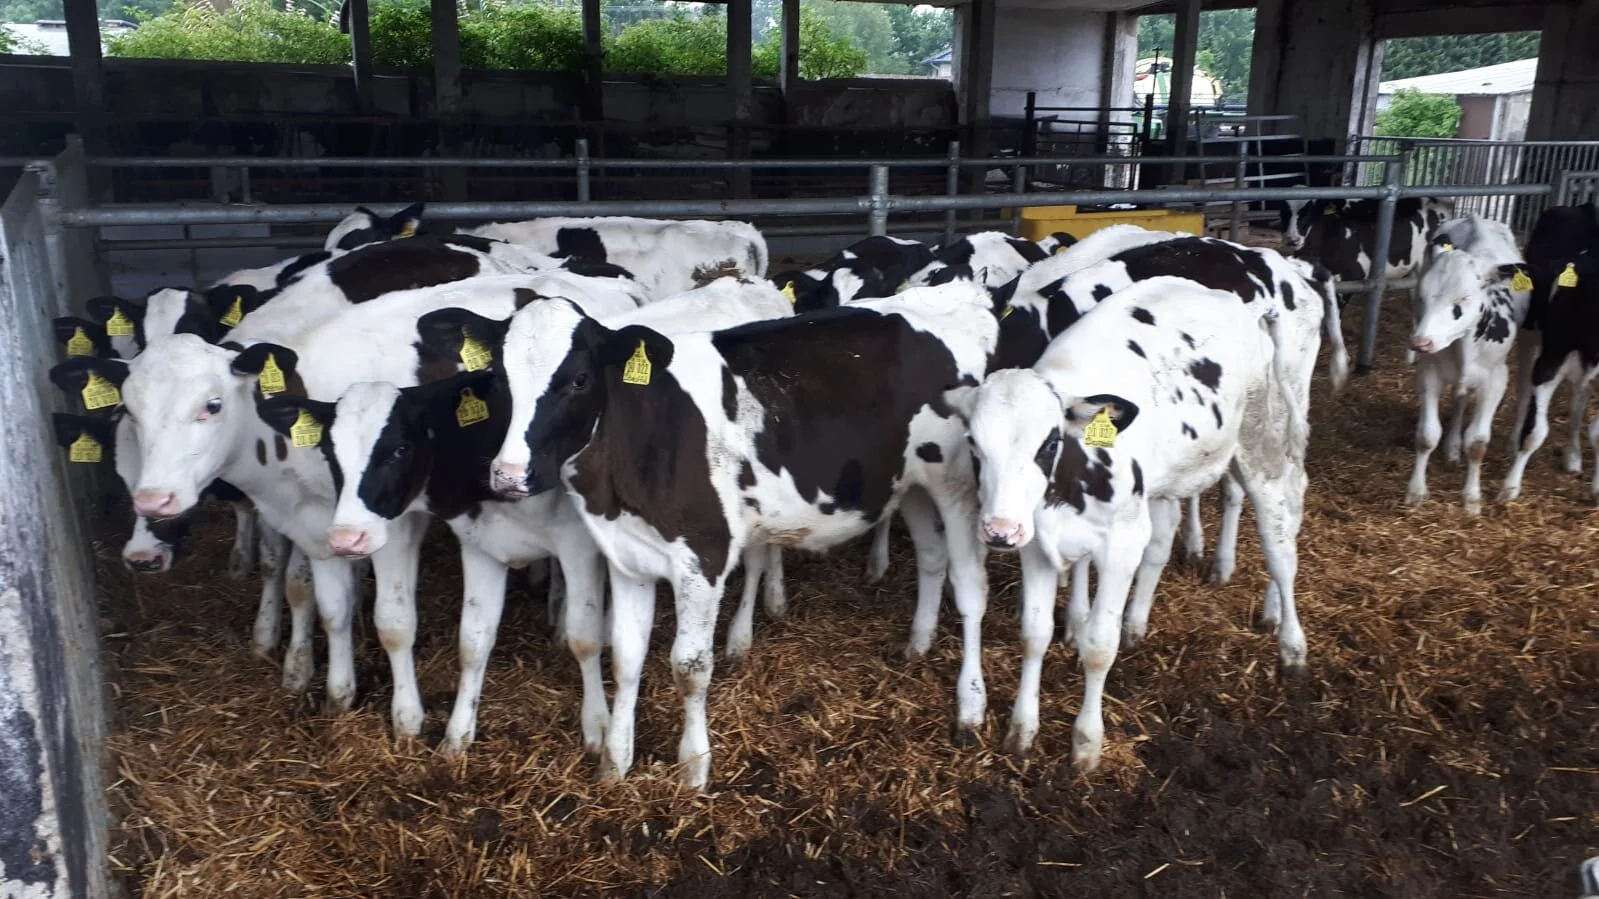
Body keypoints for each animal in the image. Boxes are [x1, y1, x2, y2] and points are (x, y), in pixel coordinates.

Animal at [486, 281, 998, 789]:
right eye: (500, 378)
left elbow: (689, 667)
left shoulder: (703, 556)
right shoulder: (627, 555)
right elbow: (627, 658)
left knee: (970, 586)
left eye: (578, 380)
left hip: (958, 485)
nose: (508, 474)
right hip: (910, 484)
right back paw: (918, 643)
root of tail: (953, 292)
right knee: (932, 558)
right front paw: (616, 761)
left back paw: (971, 705)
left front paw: (694, 767)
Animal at [947, 276, 1311, 771]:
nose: (1000, 530)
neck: (1070, 479)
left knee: (1280, 546)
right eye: (973, 444)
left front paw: (1086, 743)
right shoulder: (1037, 546)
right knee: (1163, 540)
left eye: (1049, 442)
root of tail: (1238, 302)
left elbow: (1100, 646)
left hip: (1260, 443)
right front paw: (1022, 730)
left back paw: (1291, 645)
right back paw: (1138, 622)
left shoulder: (1119, 545)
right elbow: (1034, 636)